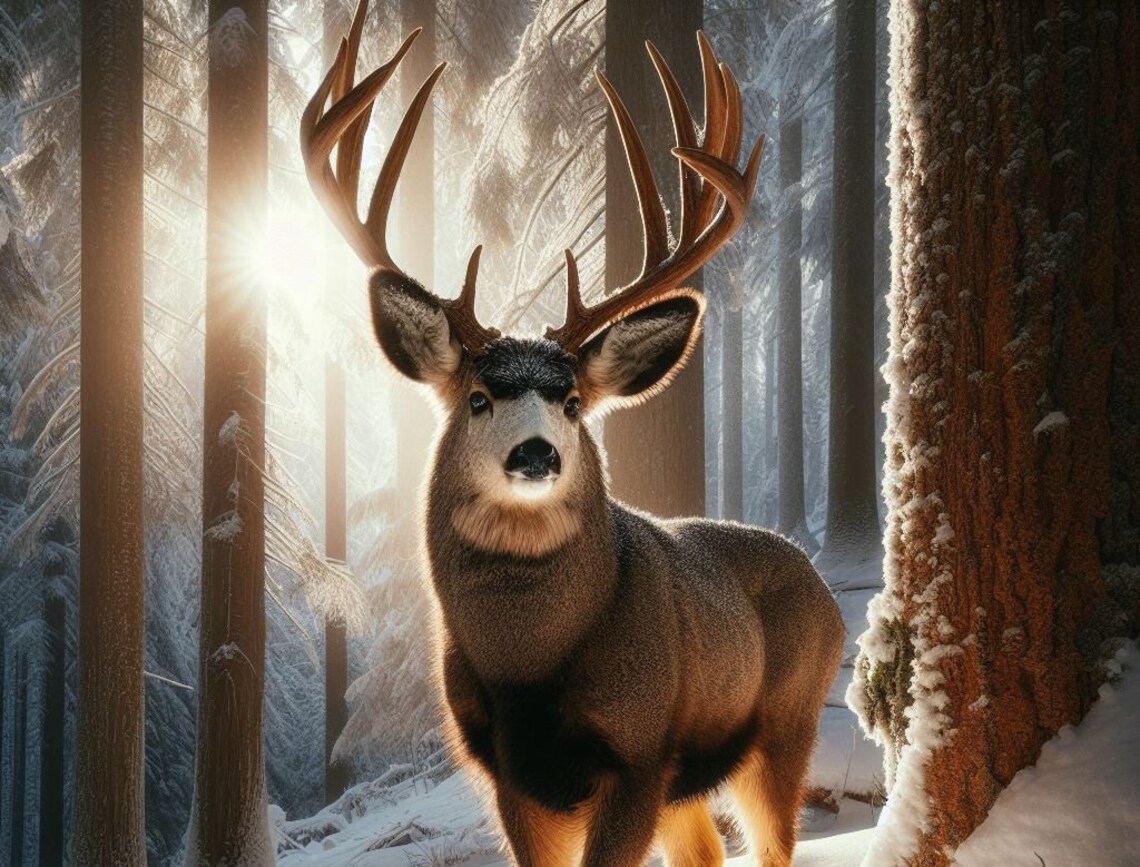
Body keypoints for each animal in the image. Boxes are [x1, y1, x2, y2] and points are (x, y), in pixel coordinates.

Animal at [301, 5, 844, 866]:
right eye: (479, 397)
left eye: (573, 401)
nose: (536, 453)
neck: (528, 667)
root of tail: (821, 584)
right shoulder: (508, 774)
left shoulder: (638, 750)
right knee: (705, 850)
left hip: (783, 725)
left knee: (771, 841)